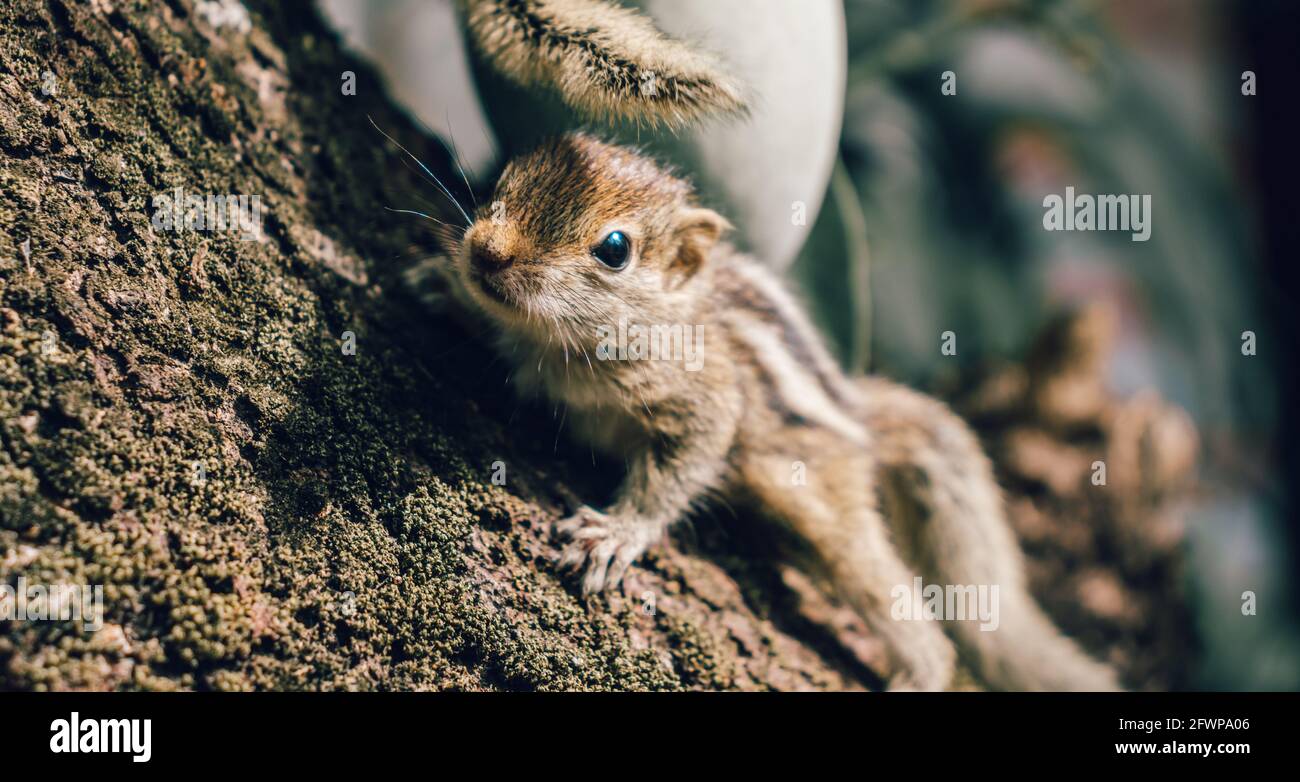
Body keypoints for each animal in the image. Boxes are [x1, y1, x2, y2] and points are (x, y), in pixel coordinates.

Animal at [397, 0, 1118, 691]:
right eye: (506, 182)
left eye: (615, 249)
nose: (485, 253)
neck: (564, 342)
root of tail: (857, 414)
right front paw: (444, 289)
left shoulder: (704, 402)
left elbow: (677, 472)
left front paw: (618, 532)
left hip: (824, 506)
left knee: (905, 610)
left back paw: (918, 671)